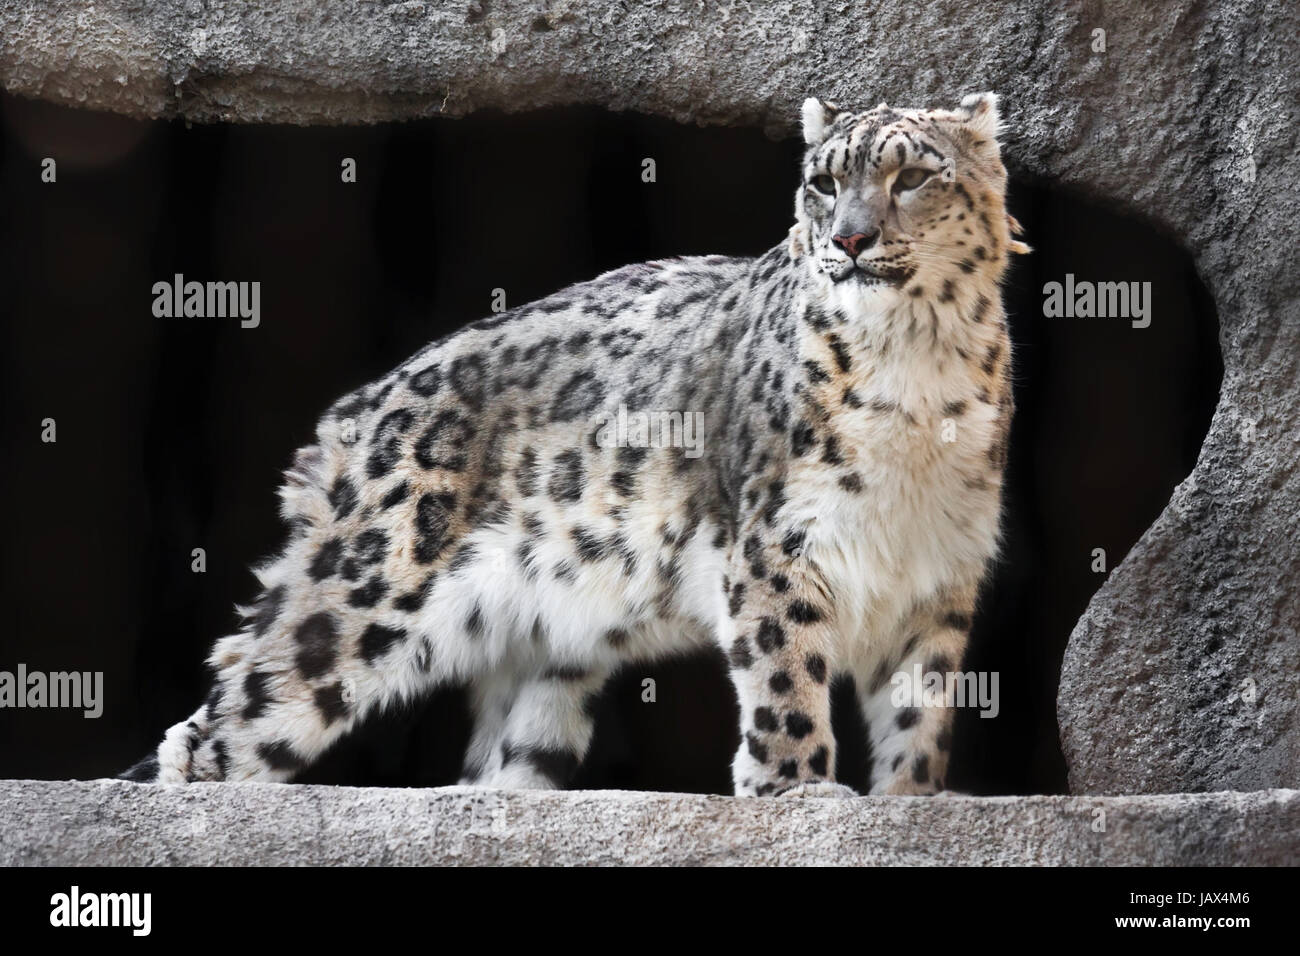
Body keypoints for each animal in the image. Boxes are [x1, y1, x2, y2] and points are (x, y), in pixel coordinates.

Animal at [121, 92, 1028, 797]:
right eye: (823, 182)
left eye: (913, 176)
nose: (849, 239)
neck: (917, 376)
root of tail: (357, 409)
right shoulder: (776, 545)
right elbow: (786, 676)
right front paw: (799, 790)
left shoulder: (940, 568)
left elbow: (919, 709)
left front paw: (911, 798)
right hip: (374, 581)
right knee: (244, 699)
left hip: (552, 658)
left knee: (503, 762)